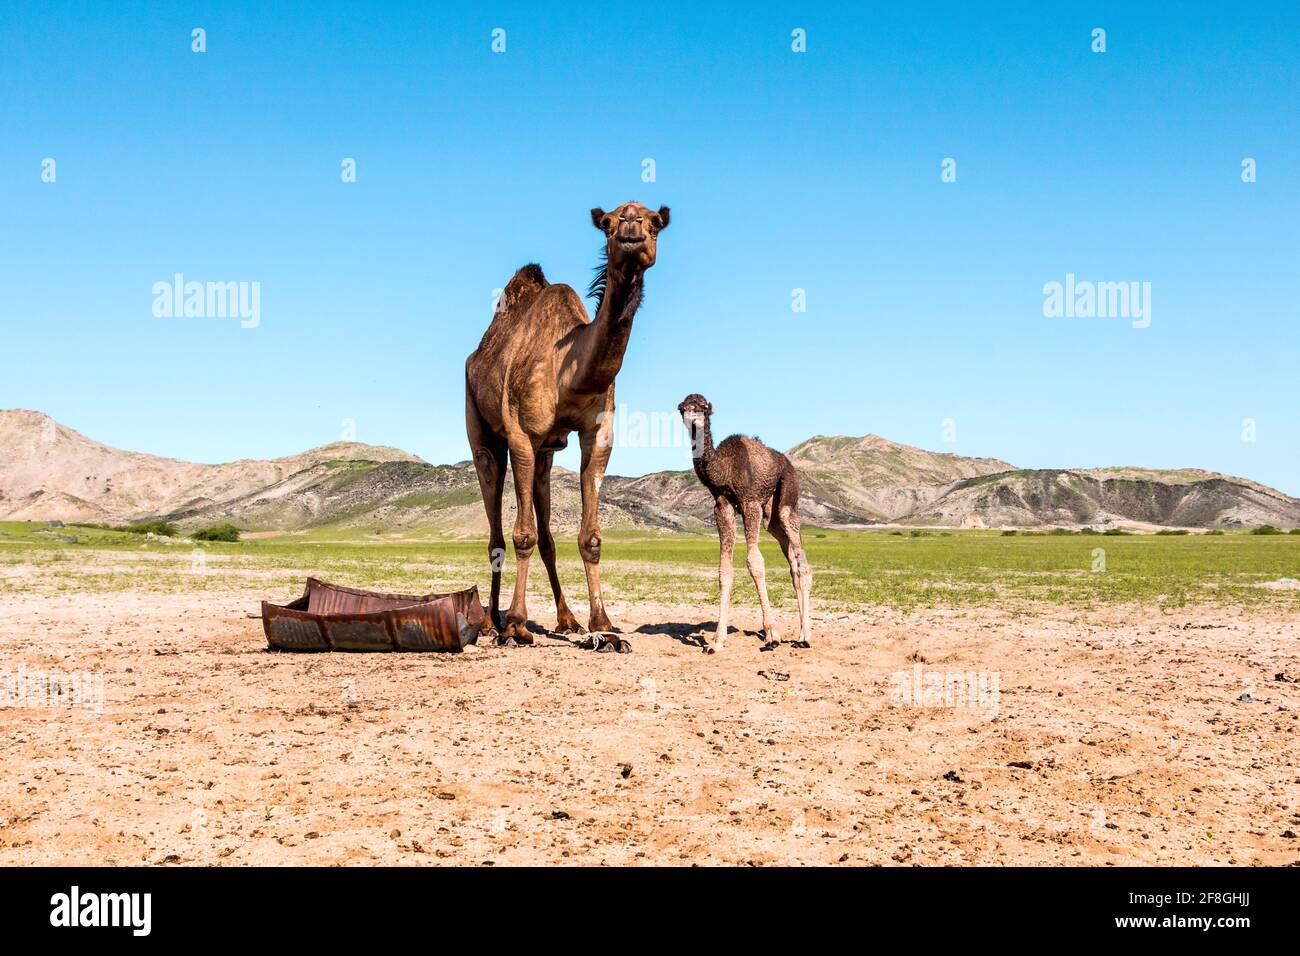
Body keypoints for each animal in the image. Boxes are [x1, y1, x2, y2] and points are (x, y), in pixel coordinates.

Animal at [465, 201, 670, 652]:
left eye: (655, 223)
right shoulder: (522, 435)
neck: (567, 370)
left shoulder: (598, 435)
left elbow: (588, 538)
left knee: (546, 536)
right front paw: (516, 626)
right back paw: (491, 622)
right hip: (483, 433)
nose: (631, 229)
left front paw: (603, 627)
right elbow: (521, 535)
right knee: (496, 530)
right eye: (609, 223)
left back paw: (567, 620)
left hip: (544, 456)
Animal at [677, 394, 813, 653]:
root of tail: (786, 460)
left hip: (787, 497)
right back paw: (800, 632)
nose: (691, 419)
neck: (725, 469)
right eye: (682, 408)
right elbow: (724, 569)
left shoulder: (750, 502)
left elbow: (755, 562)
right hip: (771, 516)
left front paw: (772, 635)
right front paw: (716, 642)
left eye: (702, 408)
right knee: (791, 561)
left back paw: (805, 636)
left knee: (802, 563)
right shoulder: (722, 505)